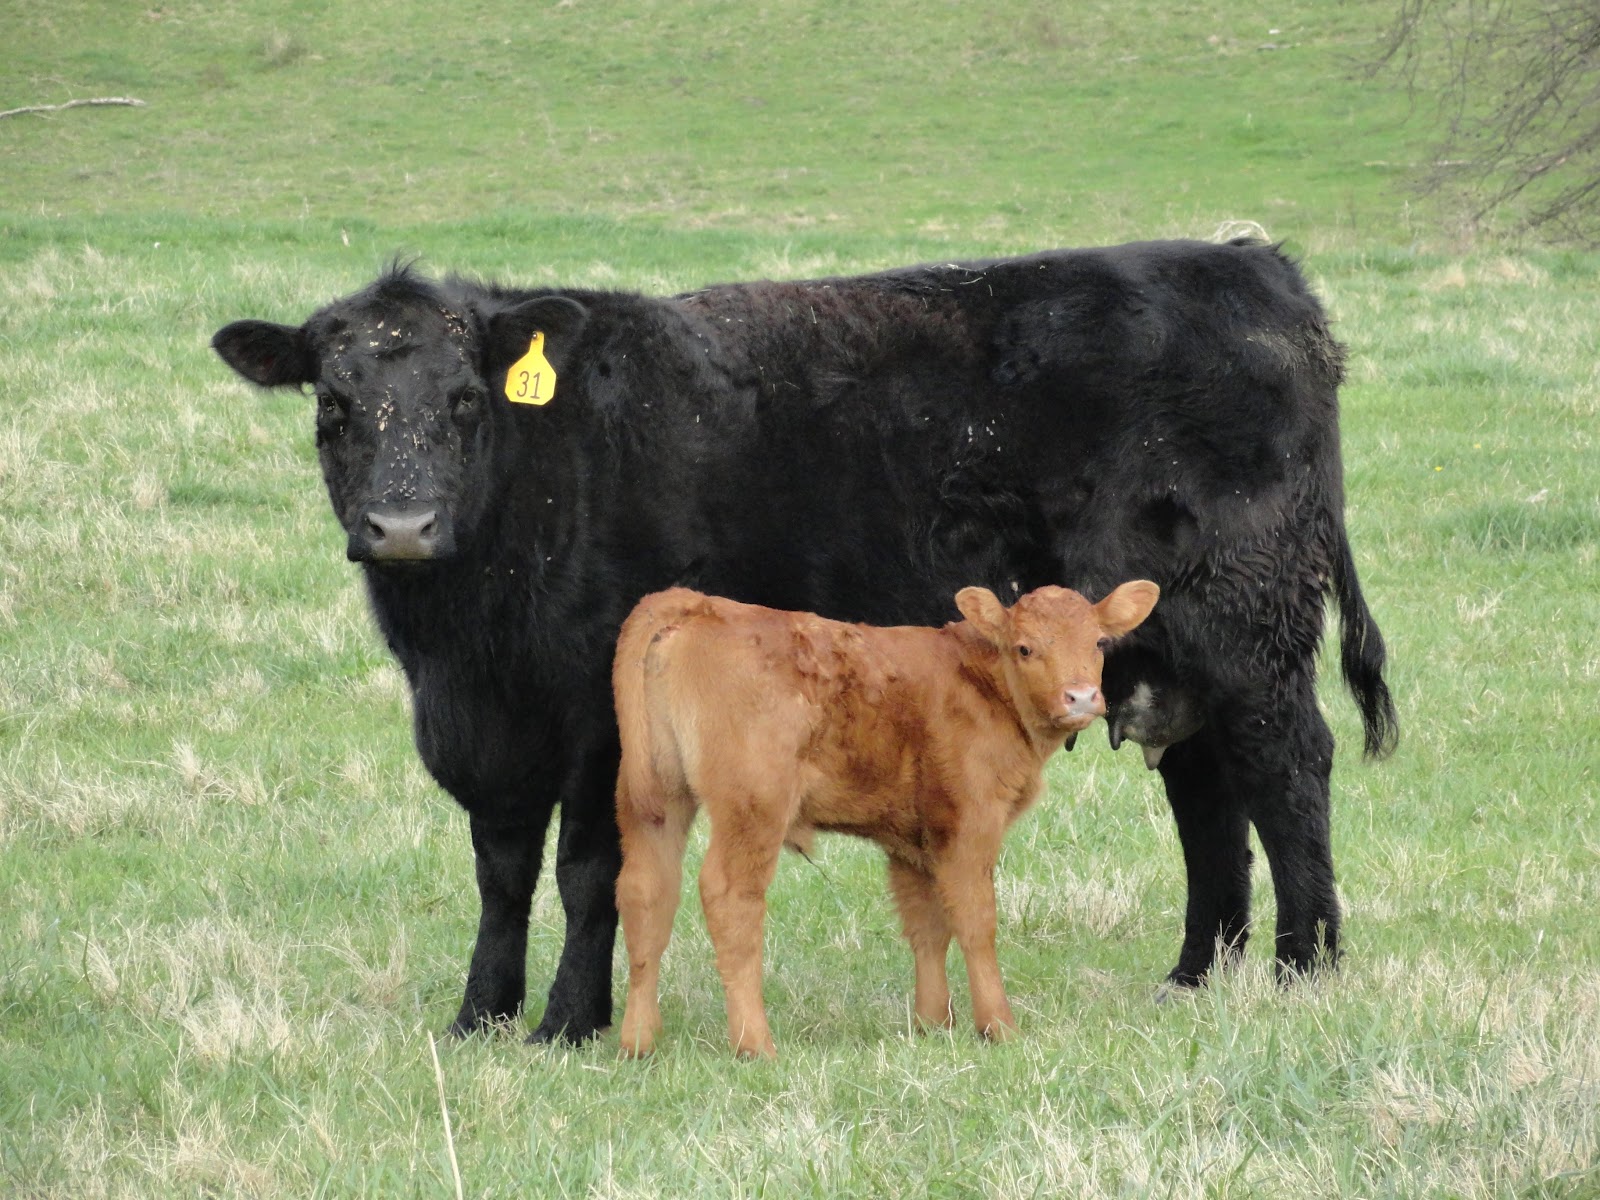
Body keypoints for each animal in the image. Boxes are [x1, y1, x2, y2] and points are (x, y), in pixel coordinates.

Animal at [612, 581, 1160, 1059]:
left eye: (1099, 642)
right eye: (1024, 648)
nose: (1081, 696)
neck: (981, 683)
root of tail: (694, 603)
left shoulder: (914, 839)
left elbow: (927, 925)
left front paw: (933, 1023)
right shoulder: (971, 822)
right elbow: (976, 921)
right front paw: (998, 1026)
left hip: (654, 801)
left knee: (647, 893)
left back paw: (638, 1041)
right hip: (753, 804)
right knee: (730, 898)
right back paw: (755, 1044)